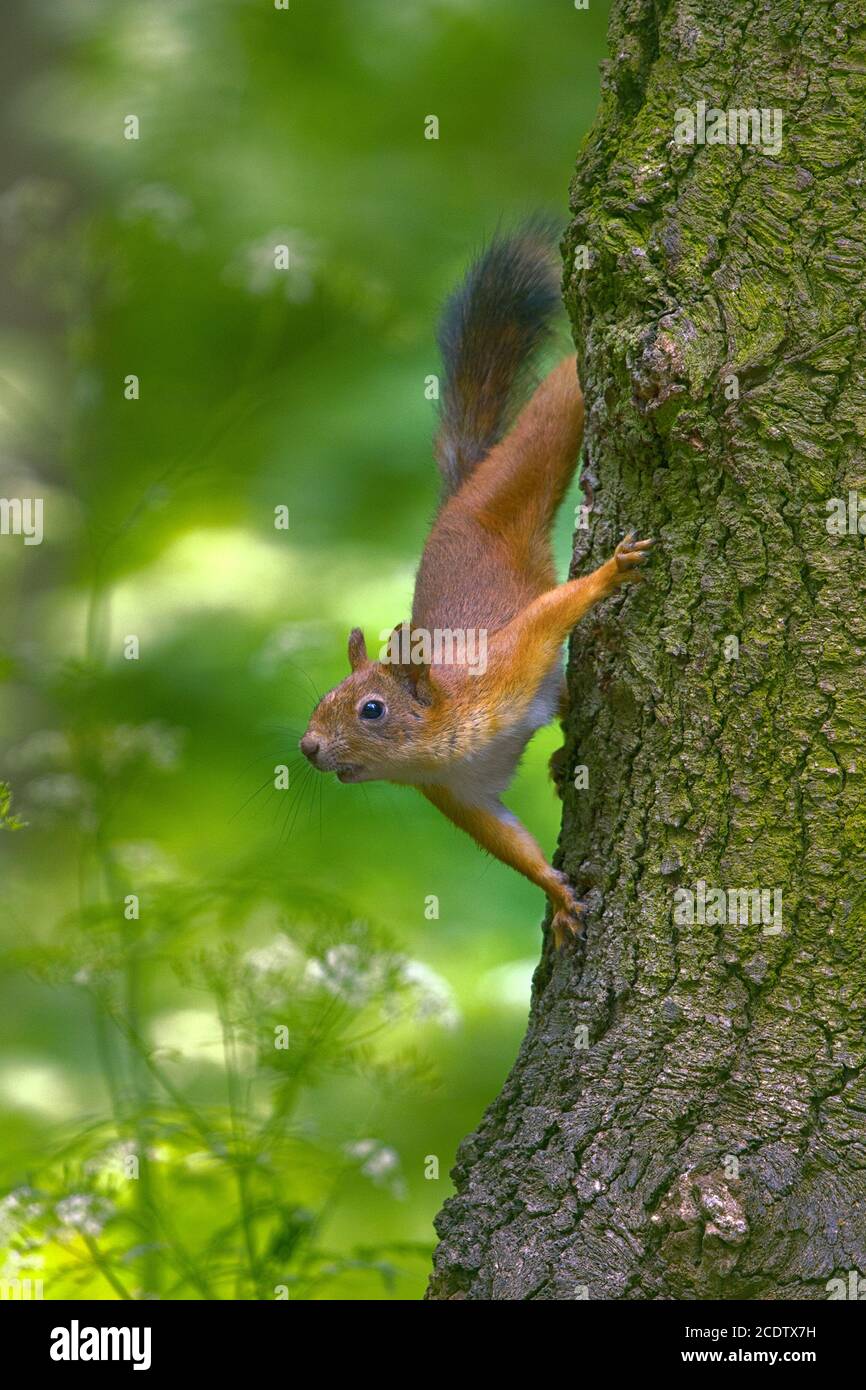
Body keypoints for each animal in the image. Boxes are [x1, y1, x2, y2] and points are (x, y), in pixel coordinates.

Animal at [299, 225, 652, 947]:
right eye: (322, 698)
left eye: (371, 709)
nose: (308, 747)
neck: (443, 741)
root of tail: (460, 498)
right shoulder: (460, 795)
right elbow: (507, 841)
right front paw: (557, 894)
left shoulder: (503, 666)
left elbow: (550, 617)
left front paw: (609, 574)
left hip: (518, 472)